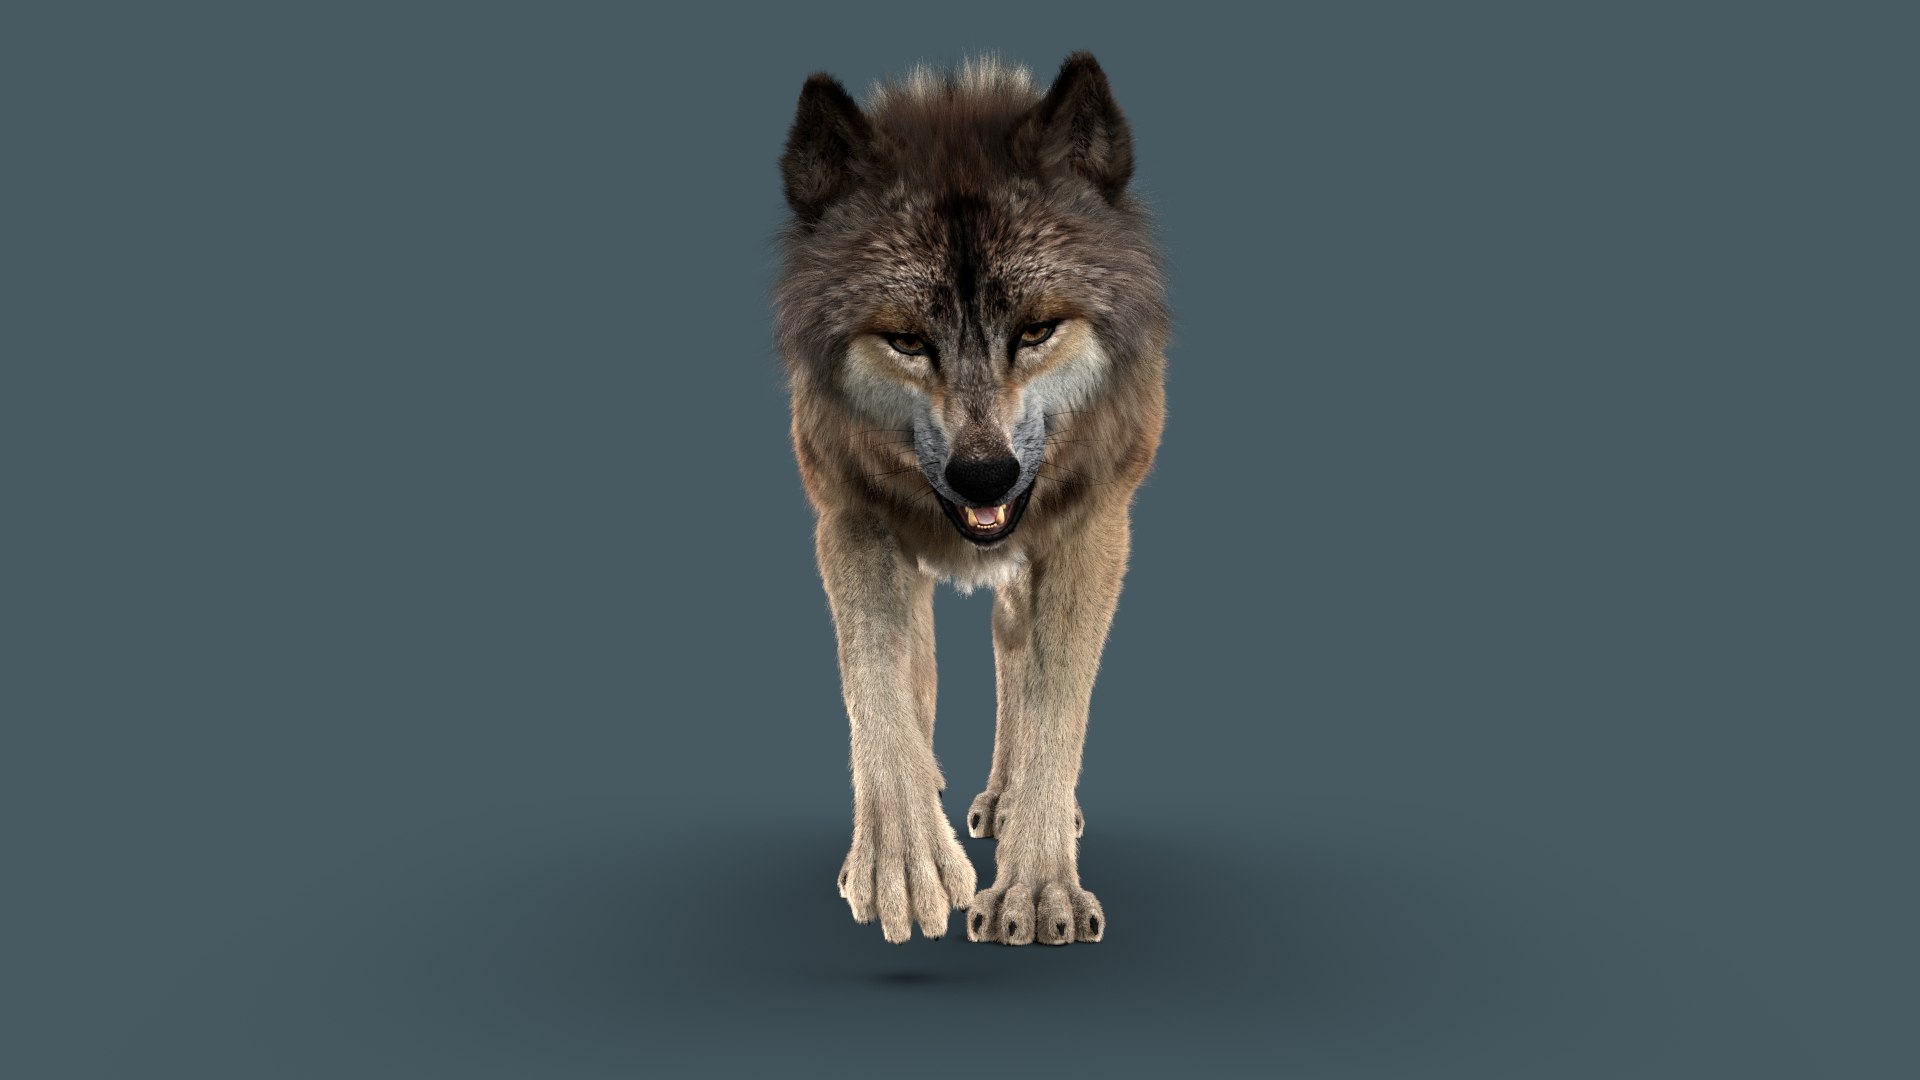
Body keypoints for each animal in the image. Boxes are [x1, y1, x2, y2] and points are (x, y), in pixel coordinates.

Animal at [774, 52, 1167, 945]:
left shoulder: (1090, 533)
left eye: (1036, 329)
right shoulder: (853, 519)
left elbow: (1056, 708)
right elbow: (882, 686)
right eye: (906, 340)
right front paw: (899, 859)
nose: (982, 476)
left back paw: (1011, 803)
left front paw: (1038, 886)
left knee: (1013, 651)